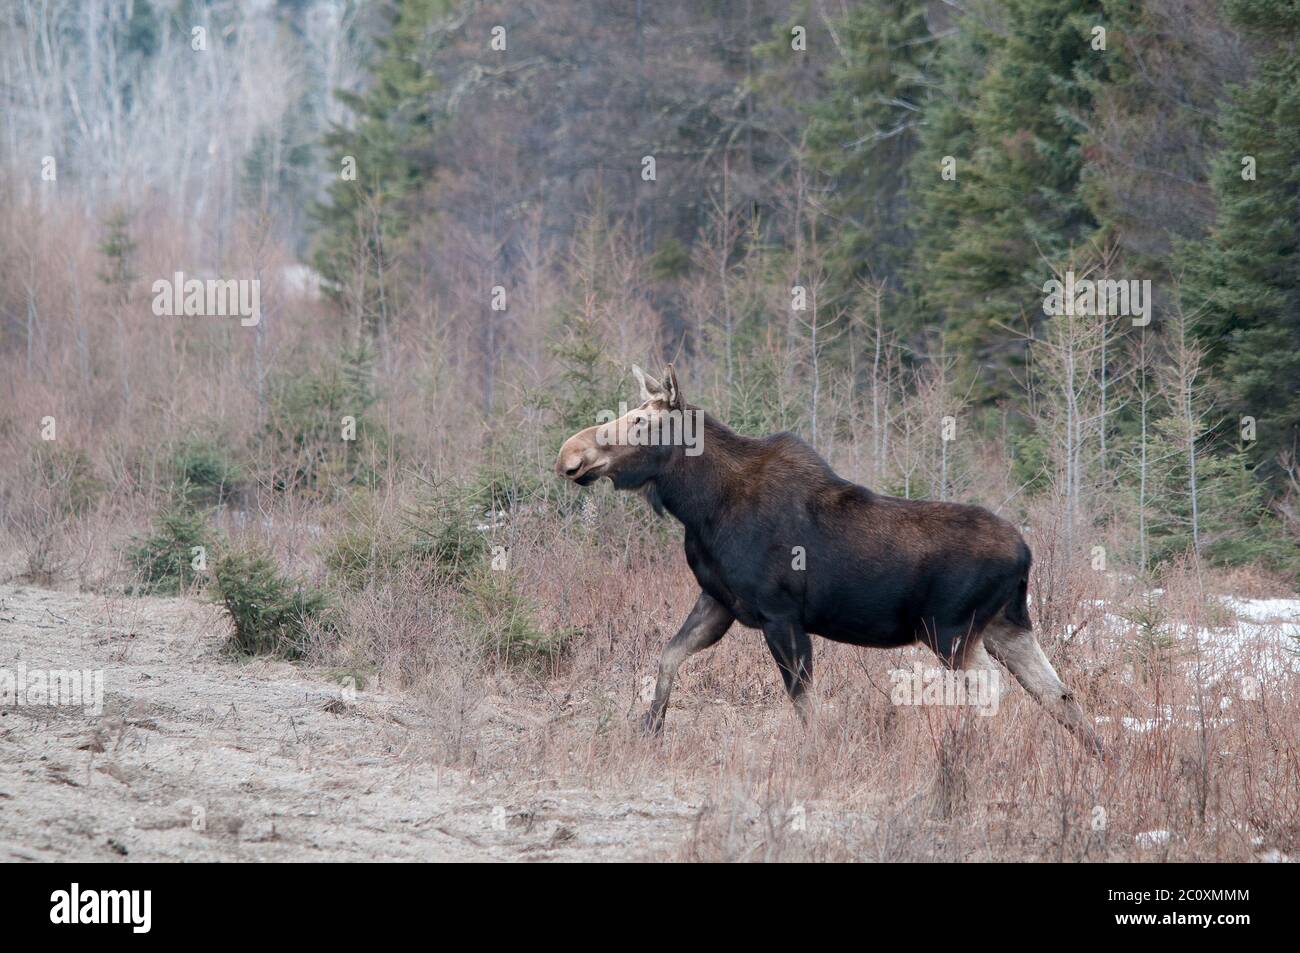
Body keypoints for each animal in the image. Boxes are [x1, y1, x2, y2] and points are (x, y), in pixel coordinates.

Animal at [555, 364, 1103, 755]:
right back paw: (1100, 757)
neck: (699, 506)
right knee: (1060, 694)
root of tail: (1026, 554)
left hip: (952, 631)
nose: (569, 454)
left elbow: (804, 701)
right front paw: (651, 730)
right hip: (1006, 625)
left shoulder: (779, 613)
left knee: (998, 690)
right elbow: (668, 657)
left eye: (640, 420)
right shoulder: (719, 601)